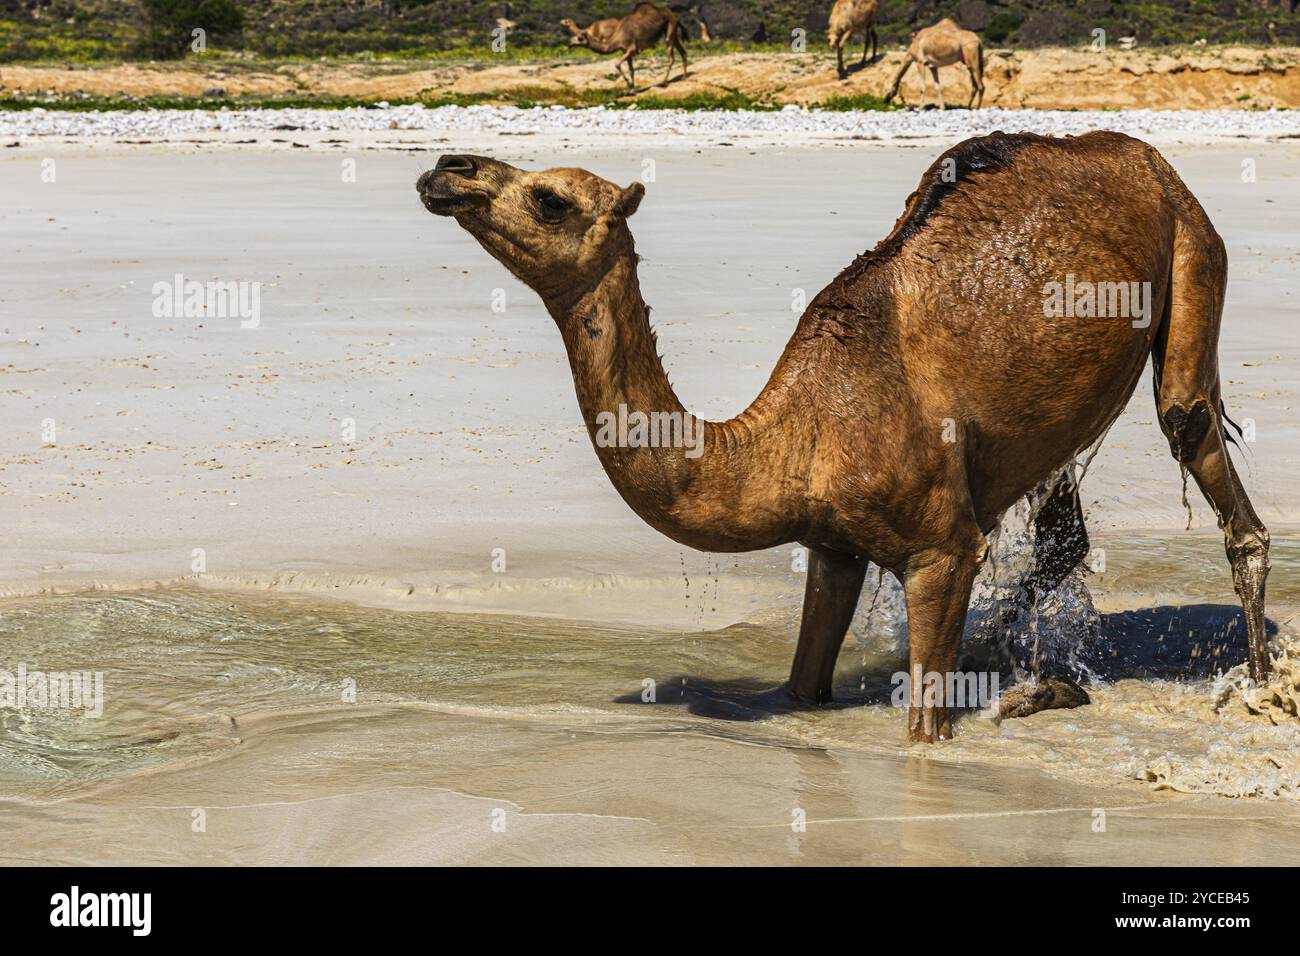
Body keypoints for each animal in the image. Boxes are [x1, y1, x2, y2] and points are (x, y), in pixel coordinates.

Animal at [416, 132, 1271, 743]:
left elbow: (924, 729)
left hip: (1193, 245)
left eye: (550, 198)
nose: (446, 169)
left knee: (1199, 440)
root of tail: (1146, 156)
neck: (800, 431)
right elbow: (803, 681)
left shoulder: (939, 550)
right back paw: (1033, 676)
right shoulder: (833, 547)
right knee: (1063, 534)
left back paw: (1257, 686)